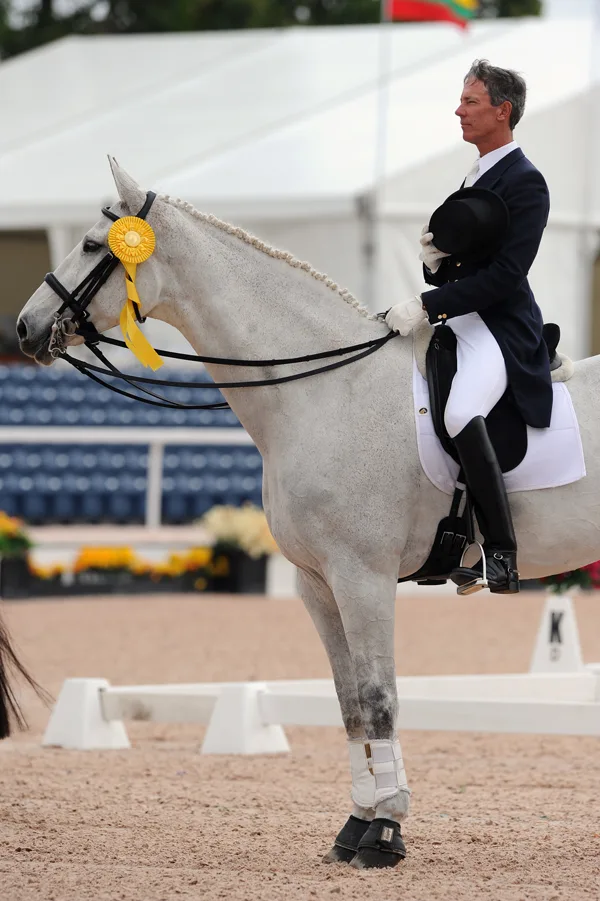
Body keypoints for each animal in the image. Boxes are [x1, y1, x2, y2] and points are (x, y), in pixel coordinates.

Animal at [12, 158, 600, 868]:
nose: (24, 328)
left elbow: (380, 698)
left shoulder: (363, 577)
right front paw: (356, 825)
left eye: (94, 245)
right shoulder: (317, 583)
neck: (327, 391)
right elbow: (349, 704)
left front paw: (387, 834)